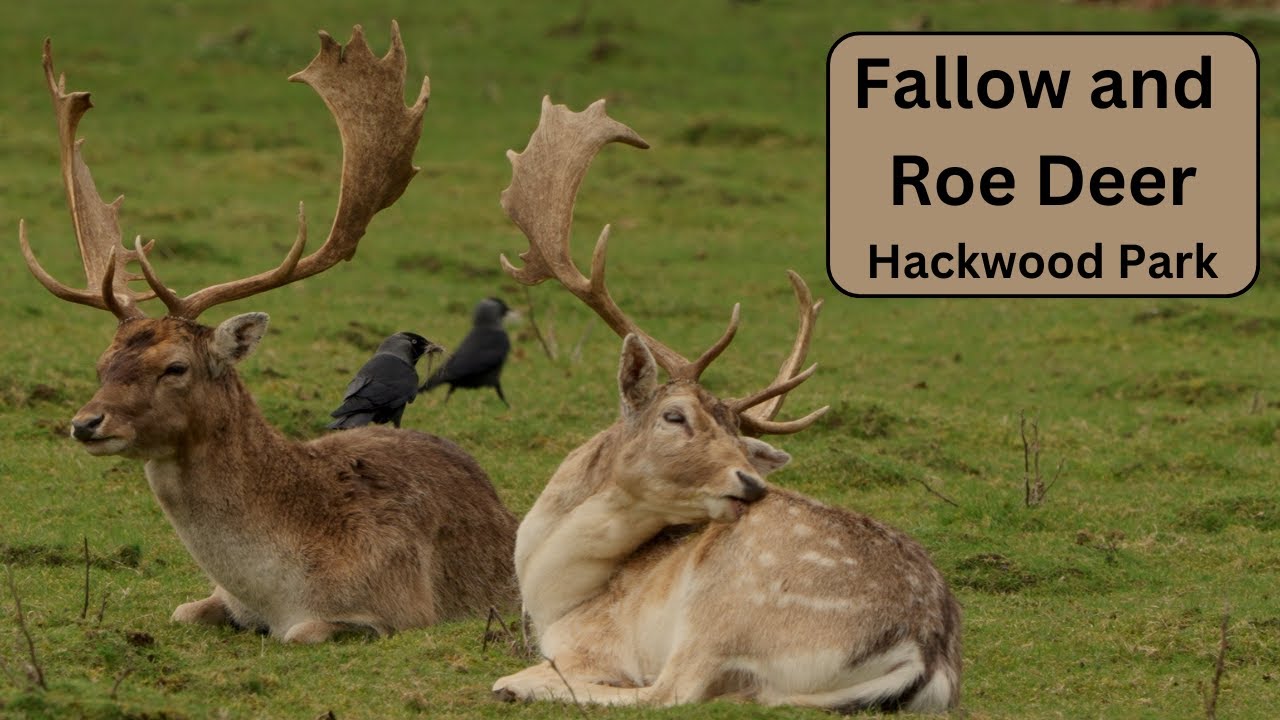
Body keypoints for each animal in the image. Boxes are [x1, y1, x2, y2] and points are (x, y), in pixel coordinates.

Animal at [17, 25, 519, 643]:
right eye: (102, 364)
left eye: (175, 366)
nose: (85, 422)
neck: (277, 590)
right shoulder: (218, 600)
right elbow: (182, 610)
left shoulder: (398, 609)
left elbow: (308, 632)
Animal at [490, 98, 962, 712]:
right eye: (674, 416)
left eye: (740, 440)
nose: (753, 483)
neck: (550, 591)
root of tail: (927, 650)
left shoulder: (596, 641)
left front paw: (523, 679)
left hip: (721, 609)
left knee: (673, 691)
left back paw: (516, 684)